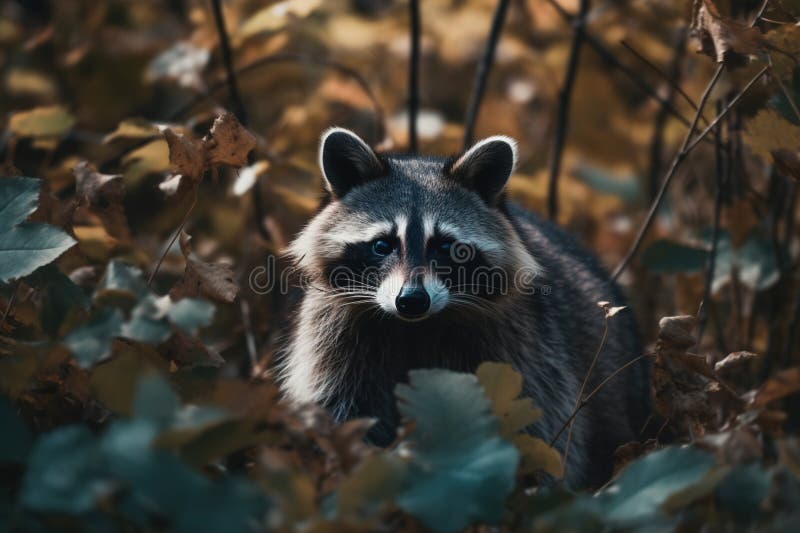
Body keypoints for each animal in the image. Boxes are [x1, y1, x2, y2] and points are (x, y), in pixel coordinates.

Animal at [279, 128, 650, 488]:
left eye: (447, 247)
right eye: (382, 245)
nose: (411, 300)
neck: (414, 326)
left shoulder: (521, 346)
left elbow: (539, 428)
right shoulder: (334, 335)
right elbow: (339, 410)